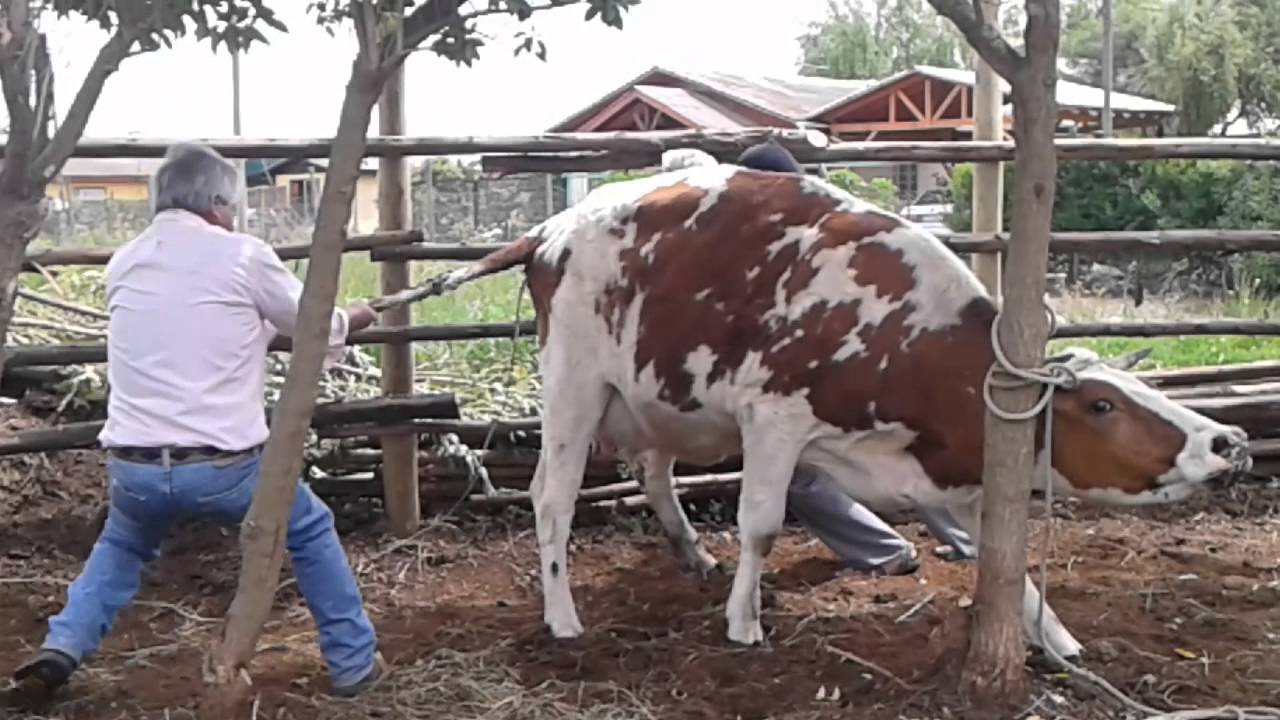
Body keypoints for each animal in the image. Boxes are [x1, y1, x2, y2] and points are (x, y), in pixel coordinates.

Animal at [431, 162, 1252, 661]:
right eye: (1102, 404)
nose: (1230, 440)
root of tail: (553, 229)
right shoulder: (774, 417)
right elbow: (761, 525)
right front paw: (744, 623)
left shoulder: (976, 463)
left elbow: (1004, 560)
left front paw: (1055, 638)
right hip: (575, 386)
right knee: (553, 498)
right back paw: (563, 616)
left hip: (660, 399)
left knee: (654, 471)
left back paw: (691, 554)